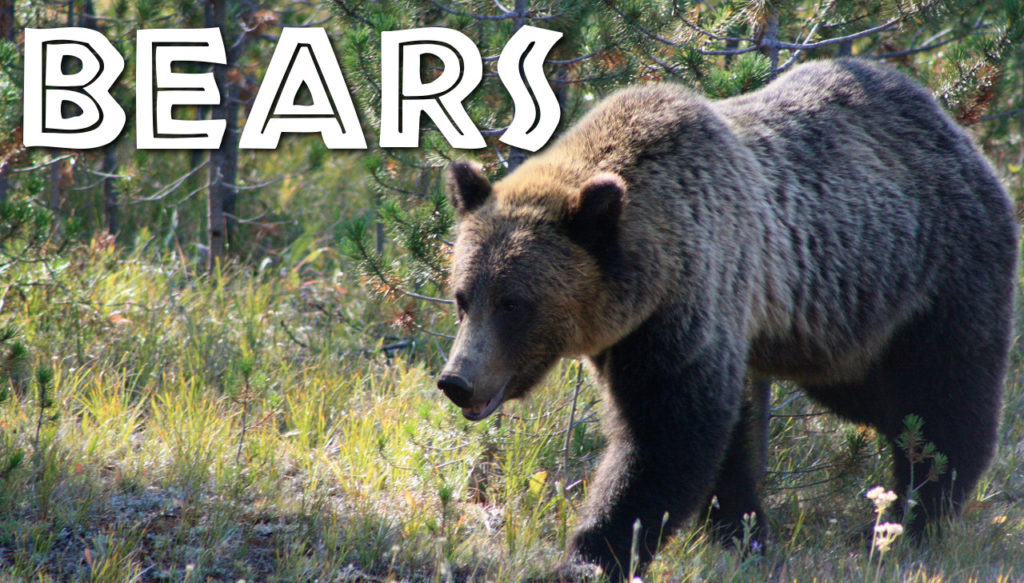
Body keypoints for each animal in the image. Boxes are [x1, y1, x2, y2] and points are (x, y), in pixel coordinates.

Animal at [437, 58, 1017, 579]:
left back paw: (919, 514)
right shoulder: (645, 332)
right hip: (844, 331)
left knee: (944, 398)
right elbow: (725, 440)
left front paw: (592, 554)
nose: (457, 380)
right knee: (886, 403)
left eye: (514, 304)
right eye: (463, 296)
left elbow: (665, 436)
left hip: (936, 275)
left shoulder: (693, 297)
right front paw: (743, 531)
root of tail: (956, 129)